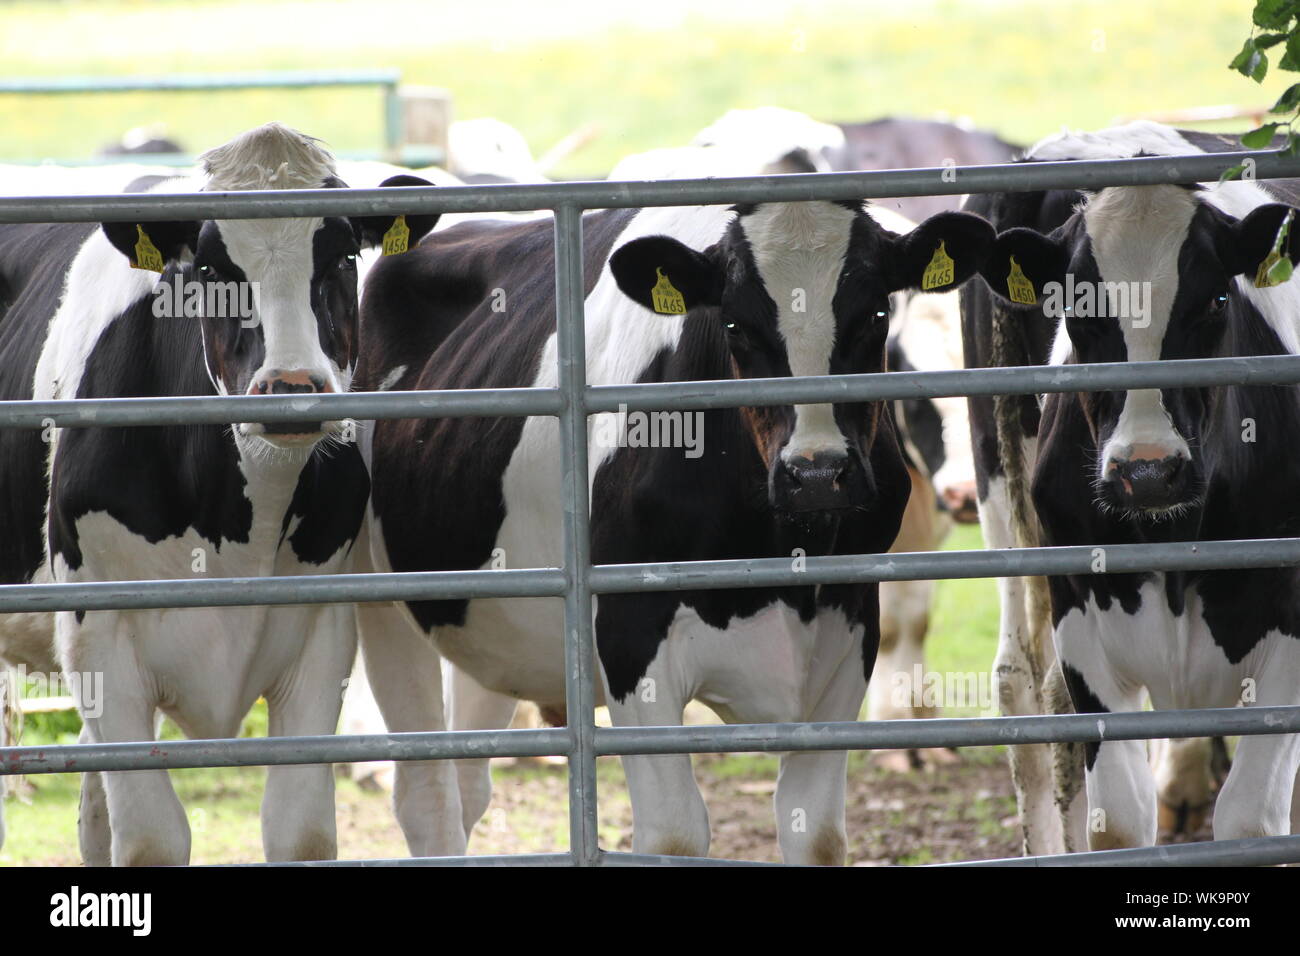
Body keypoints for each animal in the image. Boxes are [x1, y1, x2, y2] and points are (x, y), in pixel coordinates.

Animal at [0, 122, 434, 865]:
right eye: (207, 271)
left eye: (345, 257)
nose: (291, 386)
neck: (238, 528)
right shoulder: (98, 640)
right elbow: (151, 839)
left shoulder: (321, 632)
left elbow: (301, 830)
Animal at [353, 197, 995, 863]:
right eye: (735, 326)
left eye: (875, 314)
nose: (816, 474)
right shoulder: (629, 637)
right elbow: (676, 831)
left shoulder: (850, 627)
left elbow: (814, 830)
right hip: (378, 598)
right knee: (426, 795)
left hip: (488, 626)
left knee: (469, 780)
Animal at [962, 120, 1300, 853]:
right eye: (1078, 314)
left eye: (1217, 299)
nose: (1146, 470)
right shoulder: (1082, 613)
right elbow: (1118, 819)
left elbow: (1250, 817)